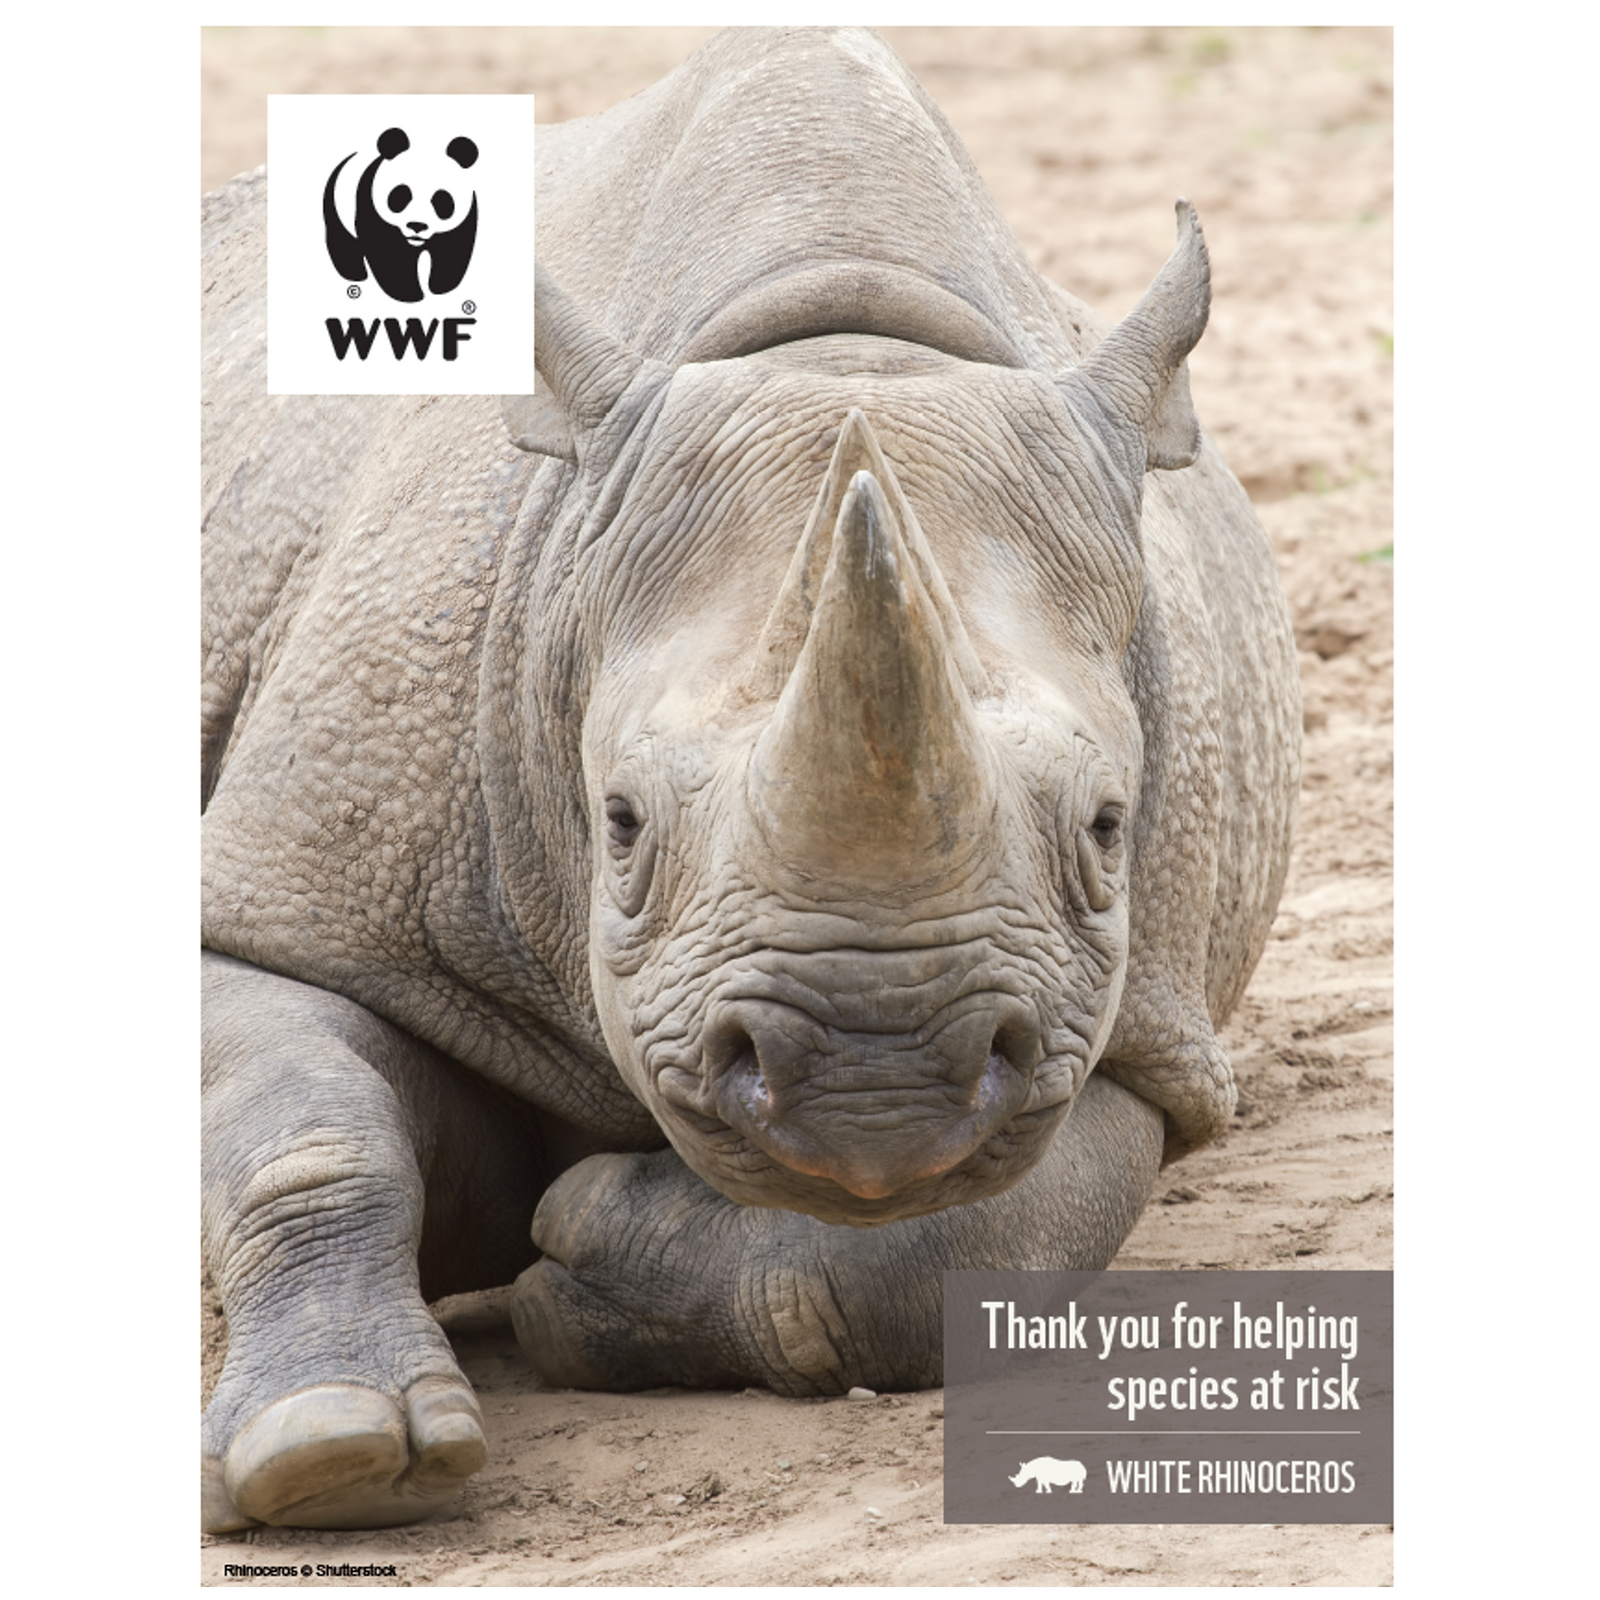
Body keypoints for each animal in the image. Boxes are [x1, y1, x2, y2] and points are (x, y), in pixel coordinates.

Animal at [200, 27, 1298, 1533]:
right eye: (619, 824)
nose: (872, 1078)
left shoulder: (1140, 1026)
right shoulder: (293, 890)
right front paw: (329, 1454)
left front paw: (583, 1255)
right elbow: (307, 1119)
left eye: (1107, 827)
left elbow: (944, 1250)